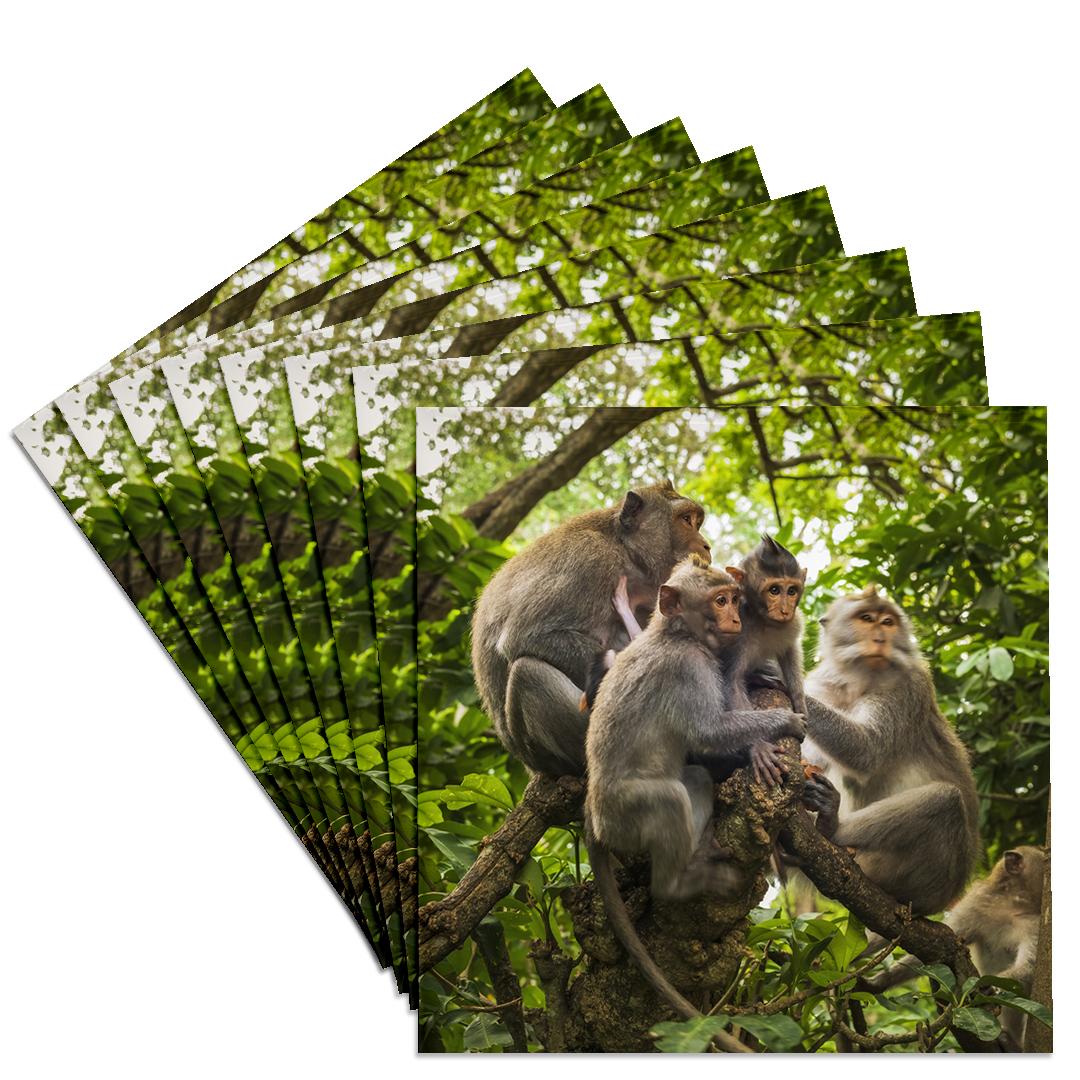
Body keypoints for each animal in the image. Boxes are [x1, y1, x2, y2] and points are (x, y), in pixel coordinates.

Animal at [471, 479, 712, 776]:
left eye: (696, 521)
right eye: (686, 520)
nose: (706, 545)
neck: (625, 552)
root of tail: (533, 768)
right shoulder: (589, 561)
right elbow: (524, 635)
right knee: (527, 673)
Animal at [584, 560, 805, 1023]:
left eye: (735, 598)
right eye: (721, 600)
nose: (737, 617)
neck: (676, 634)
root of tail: (593, 816)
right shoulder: (689, 667)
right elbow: (708, 731)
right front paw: (783, 724)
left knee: (697, 781)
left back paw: (699, 851)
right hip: (626, 815)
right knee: (668, 799)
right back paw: (675, 884)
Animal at [724, 535, 808, 714]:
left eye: (791, 591)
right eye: (774, 590)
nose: (785, 611)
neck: (763, 620)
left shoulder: (794, 622)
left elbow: (789, 651)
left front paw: (800, 703)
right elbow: (732, 683)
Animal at [797, 586, 980, 916]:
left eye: (888, 622)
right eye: (866, 619)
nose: (881, 639)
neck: (857, 682)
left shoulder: (908, 686)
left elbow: (867, 748)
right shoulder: (825, 685)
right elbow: (811, 759)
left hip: (931, 875)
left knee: (945, 799)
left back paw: (834, 826)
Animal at [863, 846, 1046, 1048]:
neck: (1011, 905)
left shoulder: (1034, 924)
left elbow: (1028, 967)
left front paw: (990, 985)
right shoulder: (976, 904)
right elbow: (939, 943)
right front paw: (878, 982)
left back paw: (1013, 1044)